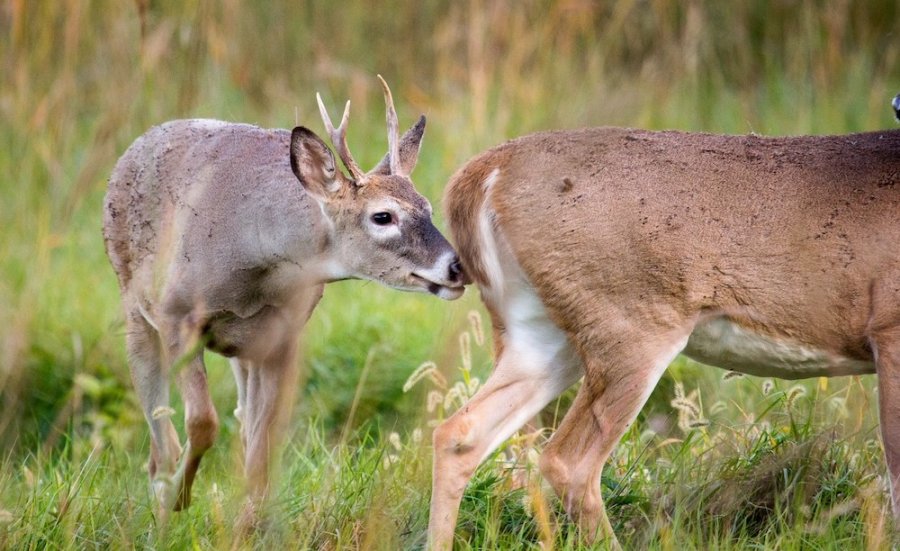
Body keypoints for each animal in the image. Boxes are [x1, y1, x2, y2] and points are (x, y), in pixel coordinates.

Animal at [102, 76, 464, 516]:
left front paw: (248, 521)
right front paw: (179, 497)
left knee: (241, 424)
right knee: (160, 443)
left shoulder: (283, 333)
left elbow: (262, 445)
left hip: (244, 350)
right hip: (134, 305)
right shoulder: (178, 315)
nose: (456, 267)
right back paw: (164, 493)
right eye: (383, 216)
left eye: (427, 206)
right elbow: (202, 421)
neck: (255, 256)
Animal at [433, 119, 900, 548]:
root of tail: (488, 171)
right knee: (570, 462)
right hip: (632, 324)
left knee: (459, 433)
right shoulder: (890, 328)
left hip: (541, 330)